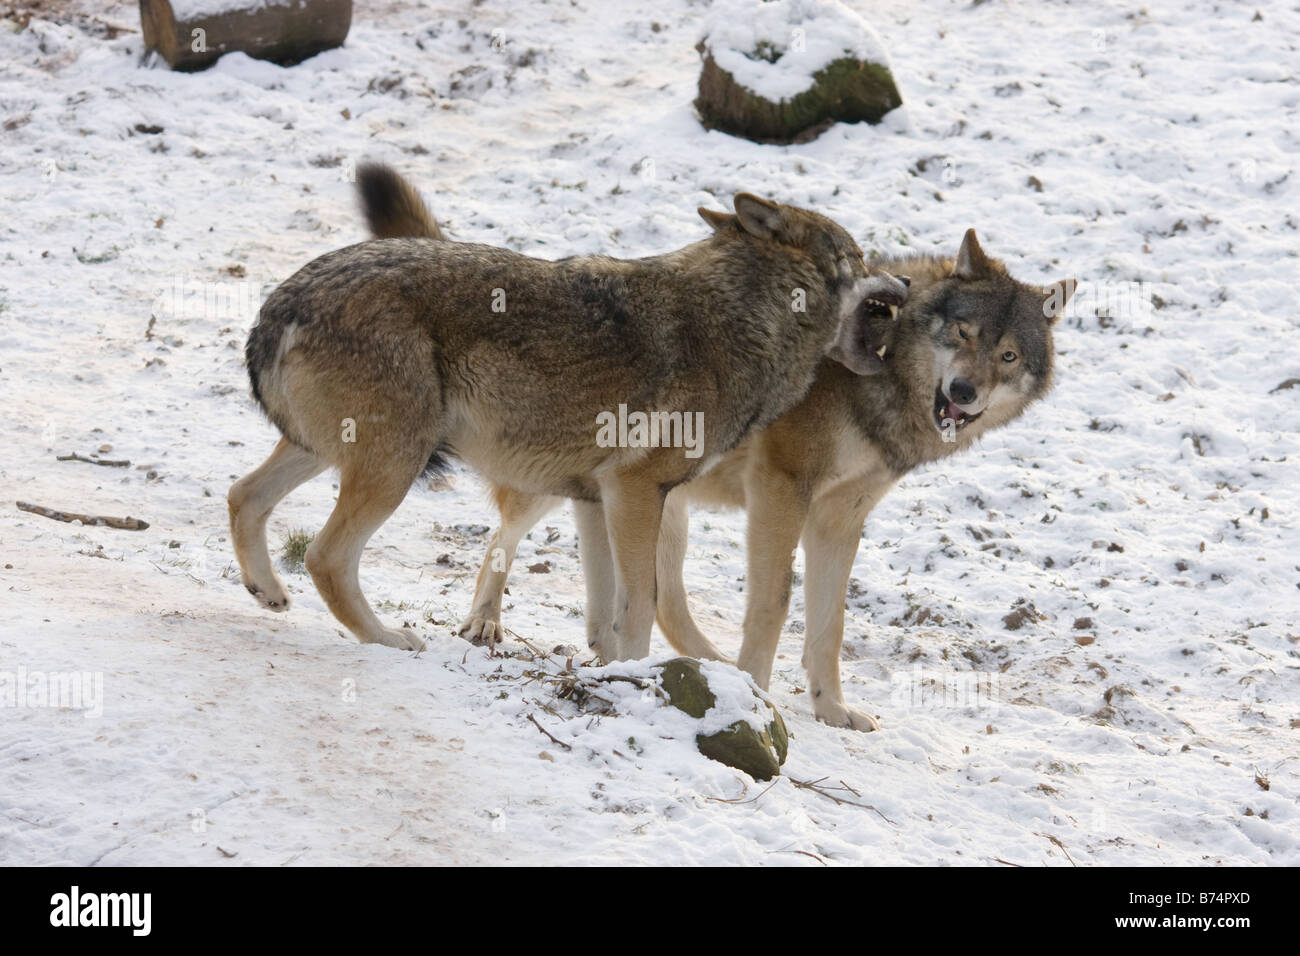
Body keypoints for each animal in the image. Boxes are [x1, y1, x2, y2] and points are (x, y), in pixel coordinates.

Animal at [228, 164, 909, 659]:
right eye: (861, 259)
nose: (904, 284)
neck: (742, 320)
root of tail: (280, 306)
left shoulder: (594, 497)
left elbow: (606, 613)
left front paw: (613, 674)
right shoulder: (637, 490)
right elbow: (643, 602)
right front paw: (642, 675)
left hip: (332, 453)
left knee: (243, 495)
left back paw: (268, 592)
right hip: (397, 467)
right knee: (325, 556)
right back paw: (388, 638)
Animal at [385, 170, 1077, 730]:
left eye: (1007, 355)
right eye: (962, 333)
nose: (963, 391)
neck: (883, 379)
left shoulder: (839, 517)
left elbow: (829, 623)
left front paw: (831, 710)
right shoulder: (780, 489)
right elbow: (773, 604)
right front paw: (761, 693)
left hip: (654, 502)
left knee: (658, 599)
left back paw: (701, 664)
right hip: (581, 479)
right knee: (505, 532)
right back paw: (487, 622)